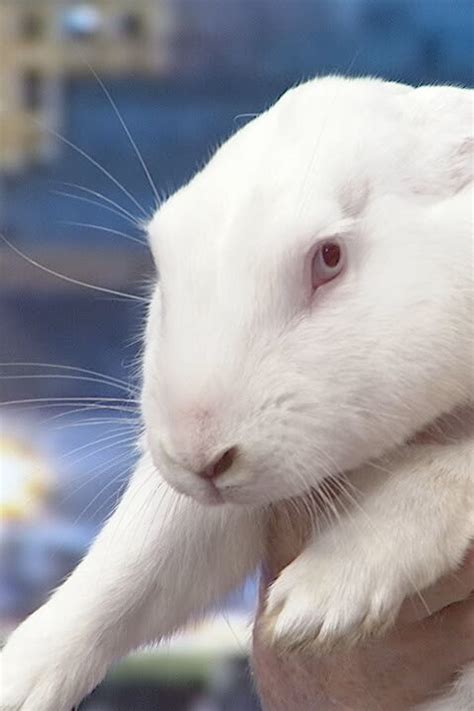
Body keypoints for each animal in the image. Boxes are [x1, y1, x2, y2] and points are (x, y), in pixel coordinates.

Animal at [1, 75, 472, 711]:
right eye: (161, 256)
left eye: (329, 257)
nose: (199, 457)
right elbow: (128, 572)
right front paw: (18, 678)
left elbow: (440, 479)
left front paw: (322, 594)